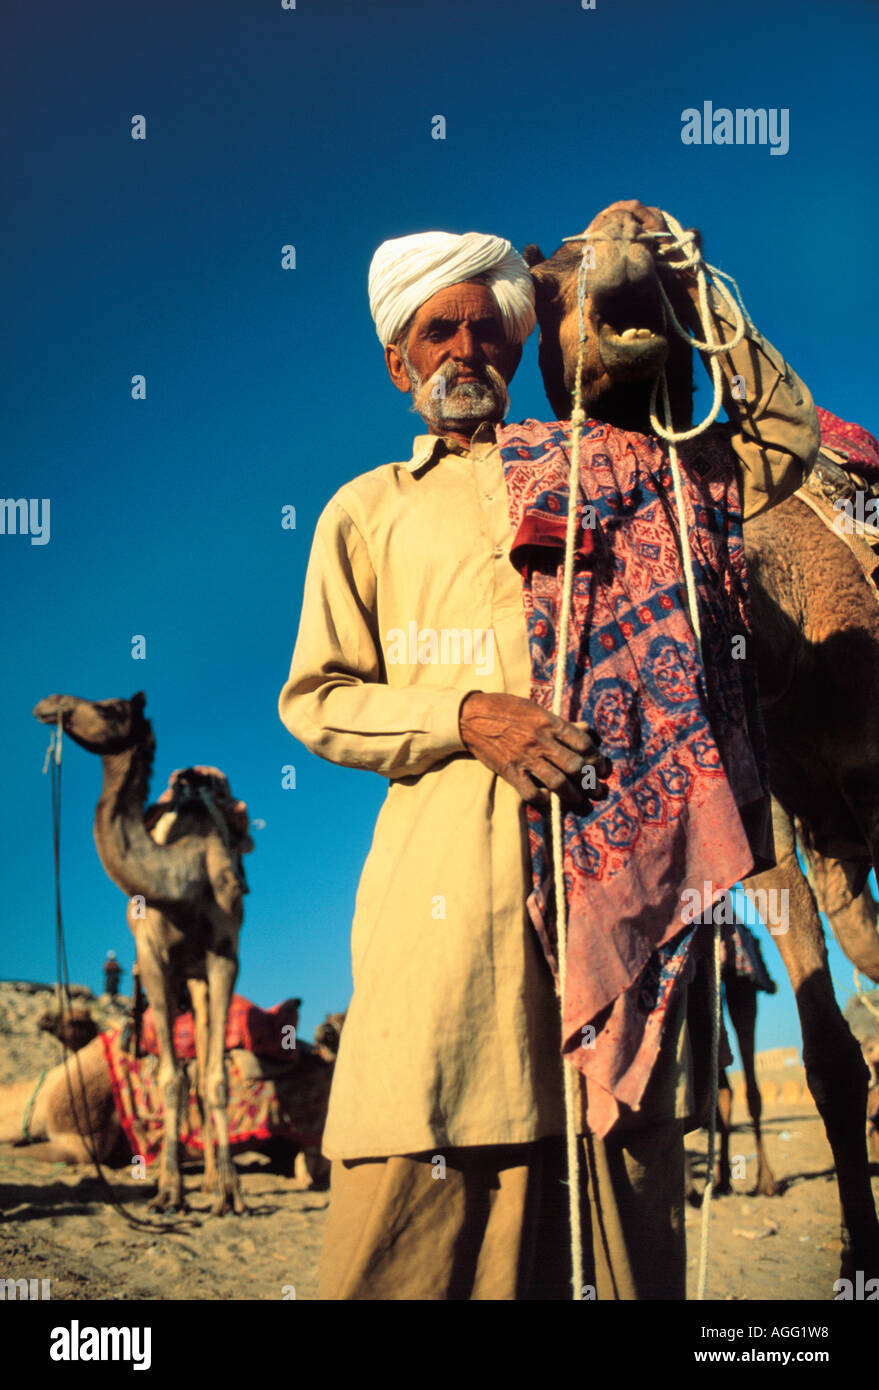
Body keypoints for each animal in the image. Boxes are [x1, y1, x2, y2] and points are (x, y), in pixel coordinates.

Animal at [32, 692, 252, 1216]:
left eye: (111, 707)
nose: (49, 703)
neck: (183, 874)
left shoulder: (225, 955)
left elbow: (217, 1076)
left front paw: (233, 1193)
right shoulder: (152, 959)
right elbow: (171, 1078)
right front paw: (169, 1191)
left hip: (202, 976)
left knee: (207, 1061)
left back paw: (217, 1182)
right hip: (182, 977)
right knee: (190, 1072)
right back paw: (203, 1181)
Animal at [522, 200, 879, 1278]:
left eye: (667, 260)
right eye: (542, 282)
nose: (621, 254)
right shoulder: (790, 831)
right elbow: (830, 1052)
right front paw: (855, 1252)